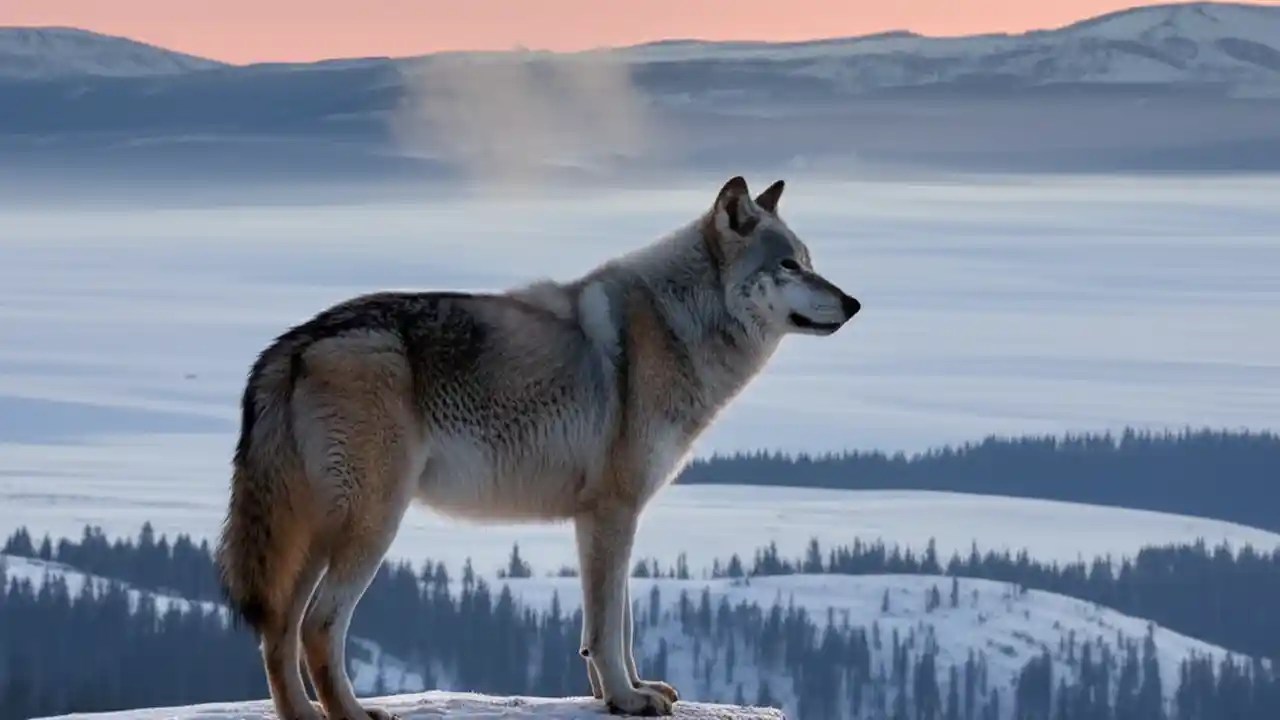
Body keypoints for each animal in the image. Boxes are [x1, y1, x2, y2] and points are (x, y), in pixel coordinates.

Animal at [216, 175, 860, 719]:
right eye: (788, 265)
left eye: (810, 263)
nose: (853, 304)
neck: (676, 325)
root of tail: (293, 344)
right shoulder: (614, 511)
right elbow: (607, 629)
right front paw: (626, 699)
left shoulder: (601, 518)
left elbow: (615, 624)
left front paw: (626, 690)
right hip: (372, 526)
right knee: (318, 626)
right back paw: (351, 712)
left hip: (313, 538)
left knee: (278, 631)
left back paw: (302, 714)